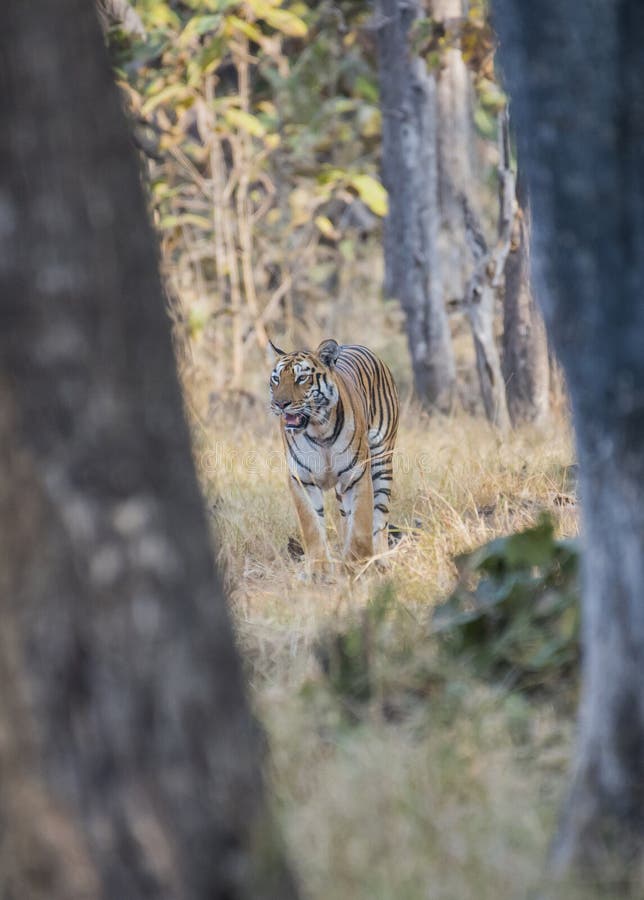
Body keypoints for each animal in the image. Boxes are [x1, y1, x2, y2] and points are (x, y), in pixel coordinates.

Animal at [269, 338, 399, 573]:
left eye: (302, 378)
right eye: (276, 379)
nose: (280, 404)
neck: (318, 431)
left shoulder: (357, 475)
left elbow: (361, 525)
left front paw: (357, 564)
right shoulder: (302, 479)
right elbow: (312, 527)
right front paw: (319, 570)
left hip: (382, 460)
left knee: (380, 516)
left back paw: (381, 561)